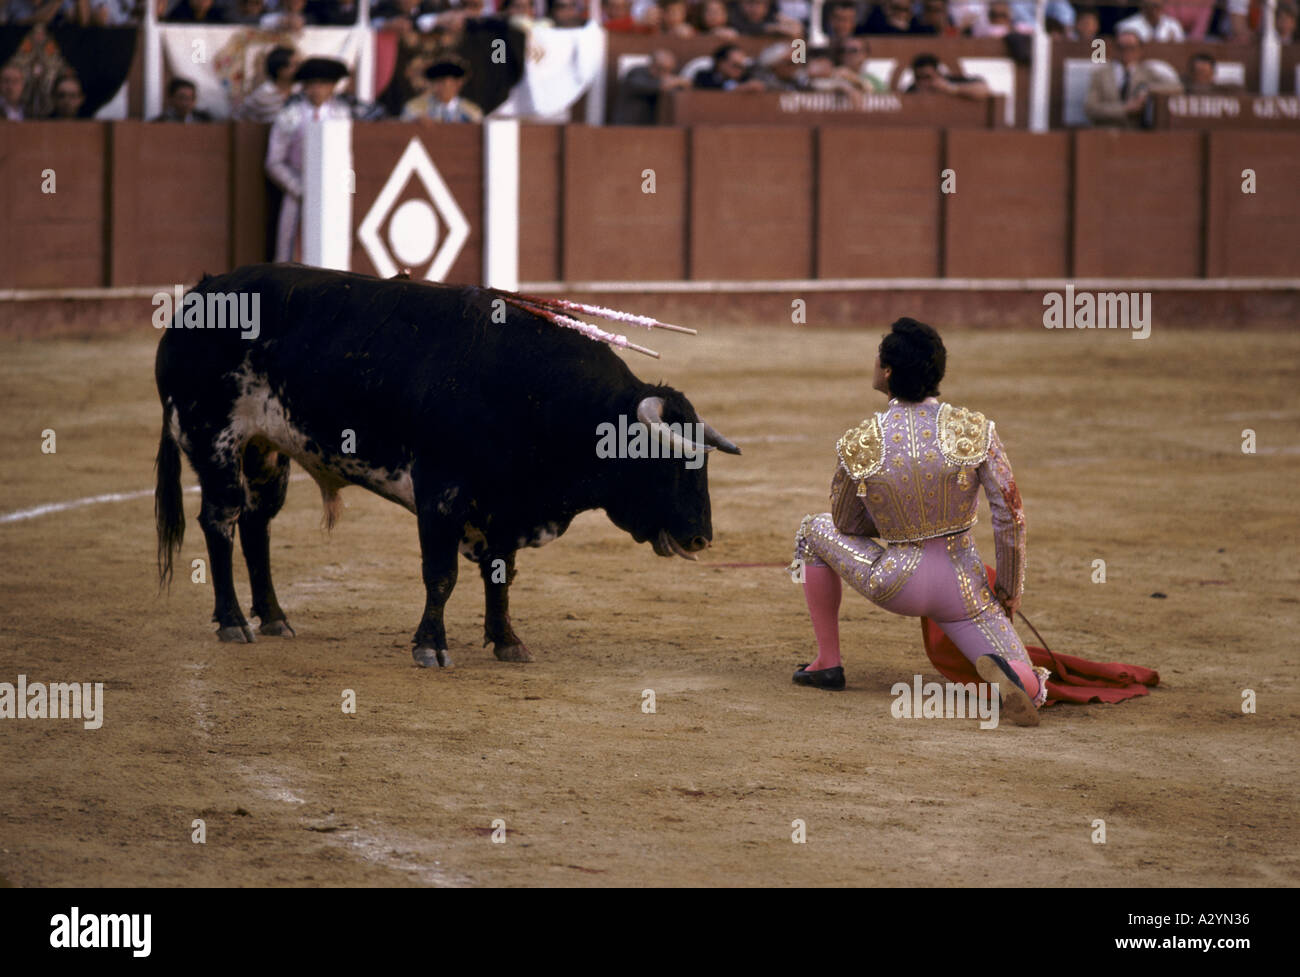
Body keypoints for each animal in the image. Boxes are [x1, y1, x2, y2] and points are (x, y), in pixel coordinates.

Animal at [154, 263, 740, 668]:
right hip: (215, 442)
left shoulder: (505, 507)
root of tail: (198, 297)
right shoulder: (440, 493)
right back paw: (234, 622)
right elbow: (441, 574)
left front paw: (508, 642)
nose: (701, 538)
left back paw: (275, 618)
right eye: (665, 464)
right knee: (220, 521)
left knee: (257, 525)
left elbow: (501, 575)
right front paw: (430, 647)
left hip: (266, 451)